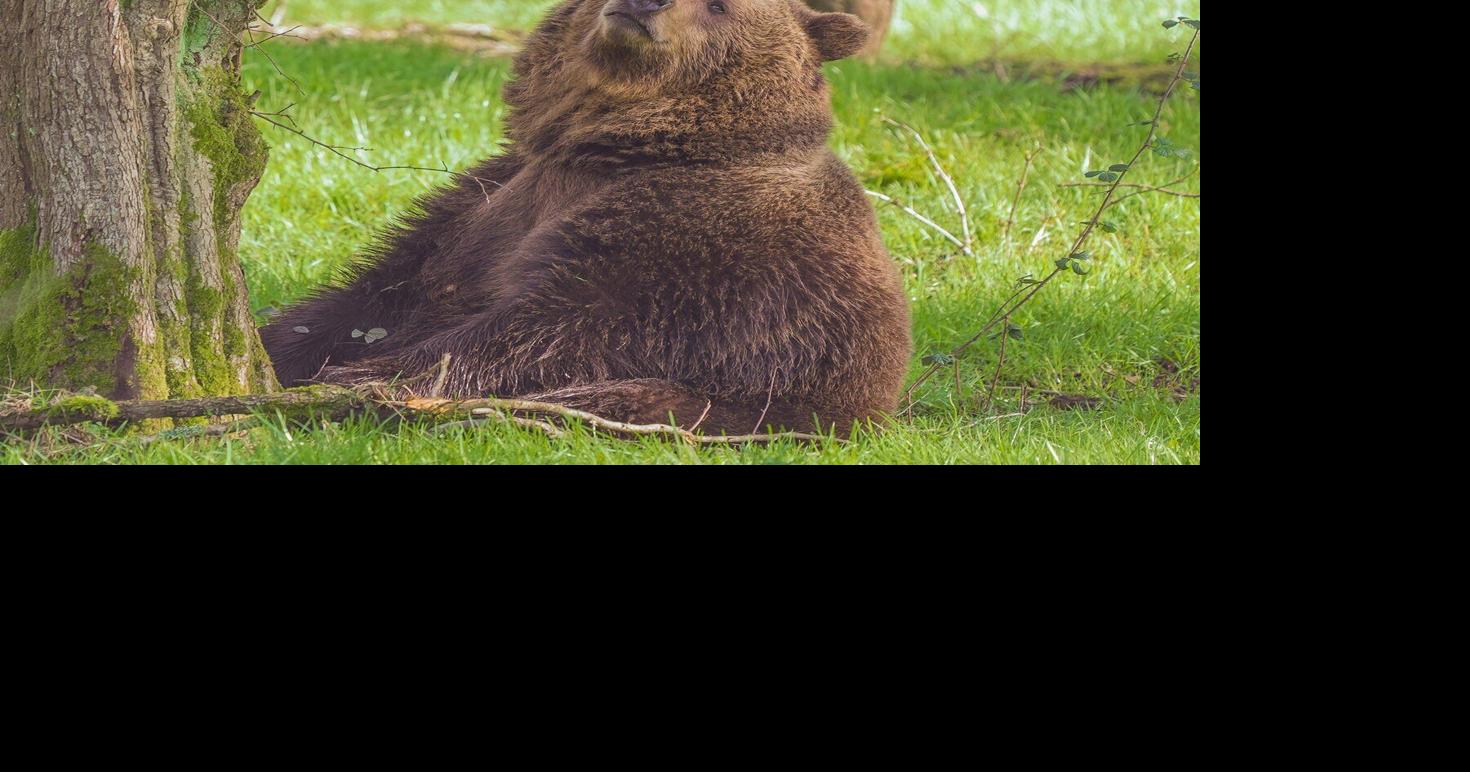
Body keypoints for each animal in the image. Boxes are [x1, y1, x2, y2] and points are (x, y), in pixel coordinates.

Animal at [260, 0, 912, 435]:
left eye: (719, 3)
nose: (644, 2)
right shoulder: (484, 202)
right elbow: (372, 295)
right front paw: (282, 349)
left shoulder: (687, 244)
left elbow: (544, 328)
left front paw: (358, 381)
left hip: (768, 395)